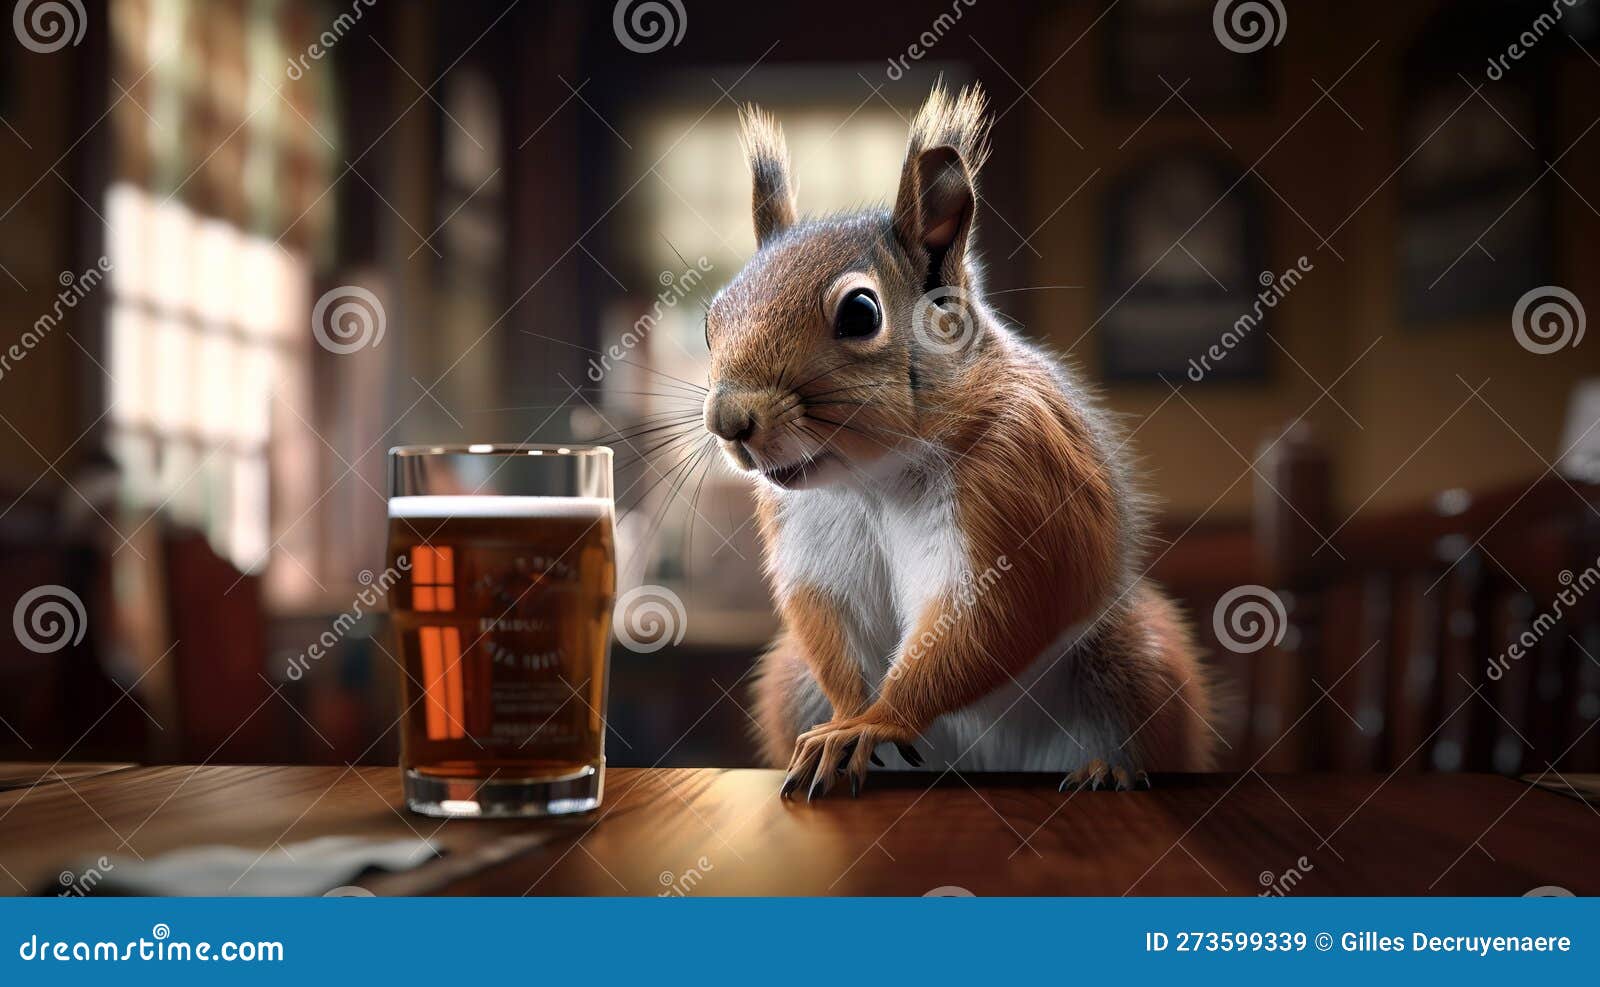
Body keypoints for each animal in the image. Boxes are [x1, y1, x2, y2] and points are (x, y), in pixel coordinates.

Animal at [700, 84, 1217, 800]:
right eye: (710, 320)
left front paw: (875, 722)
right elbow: (826, 623)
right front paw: (844, 722)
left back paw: (1107, 768)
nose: (729, 421)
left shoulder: (1022, 480)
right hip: (788, 682)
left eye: (860, 313)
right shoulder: (809, 536)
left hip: (1137, 660)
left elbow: (992, 616)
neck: (875, 479)